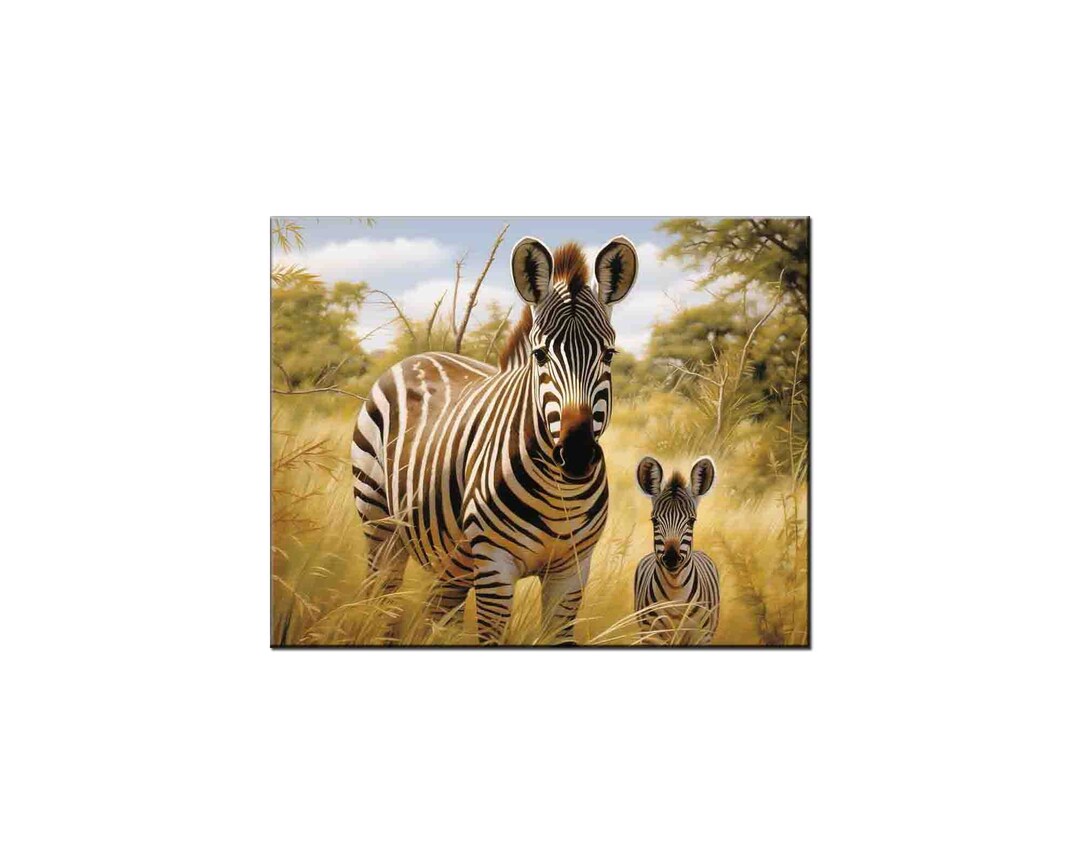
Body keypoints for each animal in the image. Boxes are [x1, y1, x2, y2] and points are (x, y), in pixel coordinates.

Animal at [351, 236, 639, 644]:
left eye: (609, 355)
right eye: (540, 355)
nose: (578, 453)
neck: (560, 493)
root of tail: (418, 356)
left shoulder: (572, 571)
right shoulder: (494, 569)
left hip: (451, 559)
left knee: (439, 616)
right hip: (379, 521)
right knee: (381, 600)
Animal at [633, 456, 721, 646]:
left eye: (691, 521)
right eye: (654, 520)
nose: (671, 558)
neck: (675, 594)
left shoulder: (700, 636)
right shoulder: (652, 635)